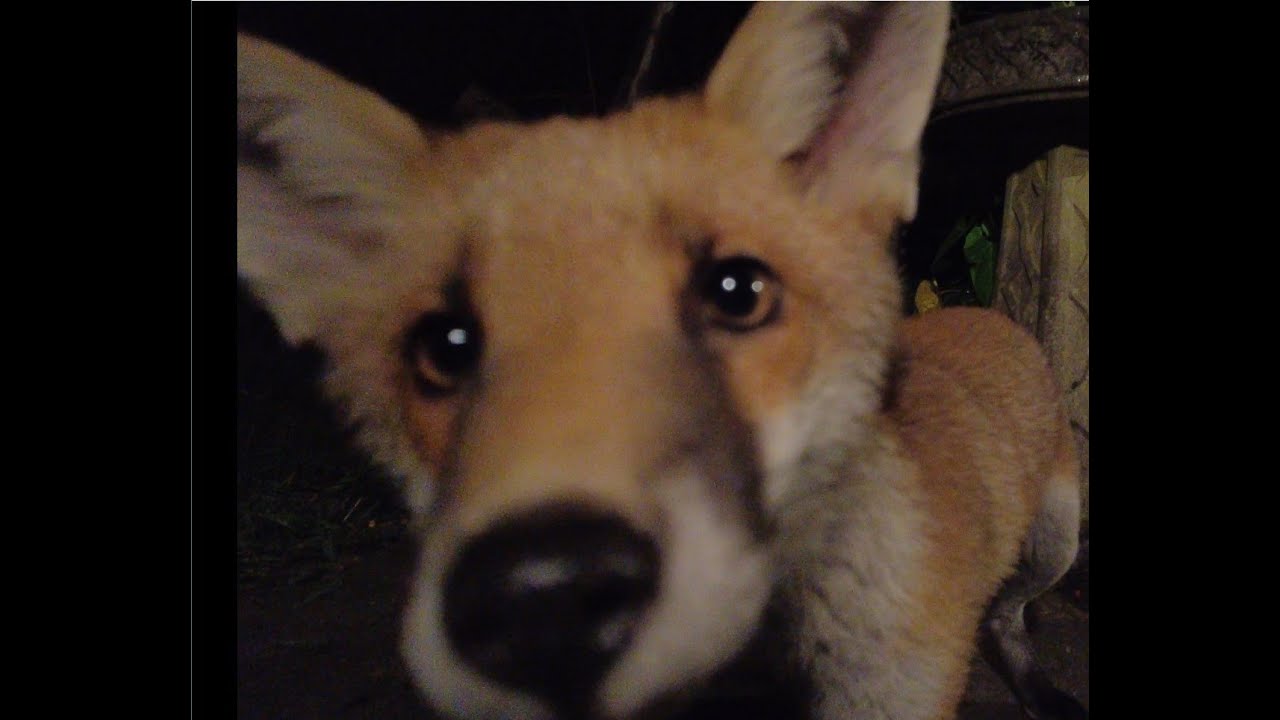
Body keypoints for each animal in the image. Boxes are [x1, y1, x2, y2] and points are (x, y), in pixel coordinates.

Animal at [236, 3, 1086, 720]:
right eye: (444, 346)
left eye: (737, 292)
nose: (543, 594)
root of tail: (985, 312)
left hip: (1057, 540)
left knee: (1005, 615)